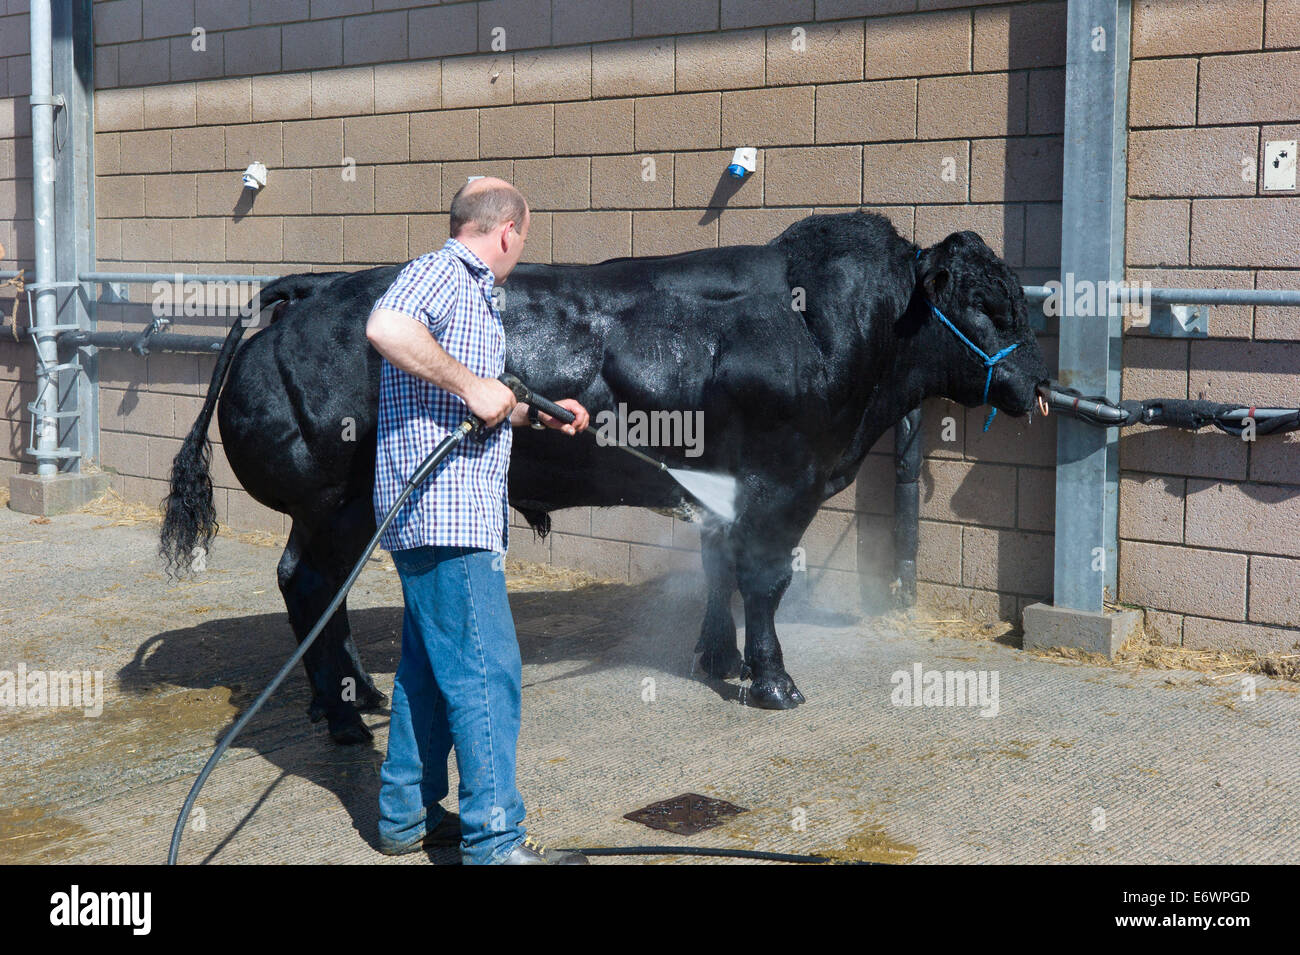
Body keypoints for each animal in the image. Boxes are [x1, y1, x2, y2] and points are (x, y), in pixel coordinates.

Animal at [159, 211, 1051, 744]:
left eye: (1018, 299)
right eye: (983, 306)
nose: (1038, 383)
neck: (831, 327)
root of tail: (312, 287)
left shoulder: (723, 491)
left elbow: (718, 569)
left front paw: (716, 658)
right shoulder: (779, 489)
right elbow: (763, 583)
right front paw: (772, 680)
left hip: (336, 510)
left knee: (313, 590)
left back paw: (349, 697)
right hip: (335, 506)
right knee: (310, 584)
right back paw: (345, 715)